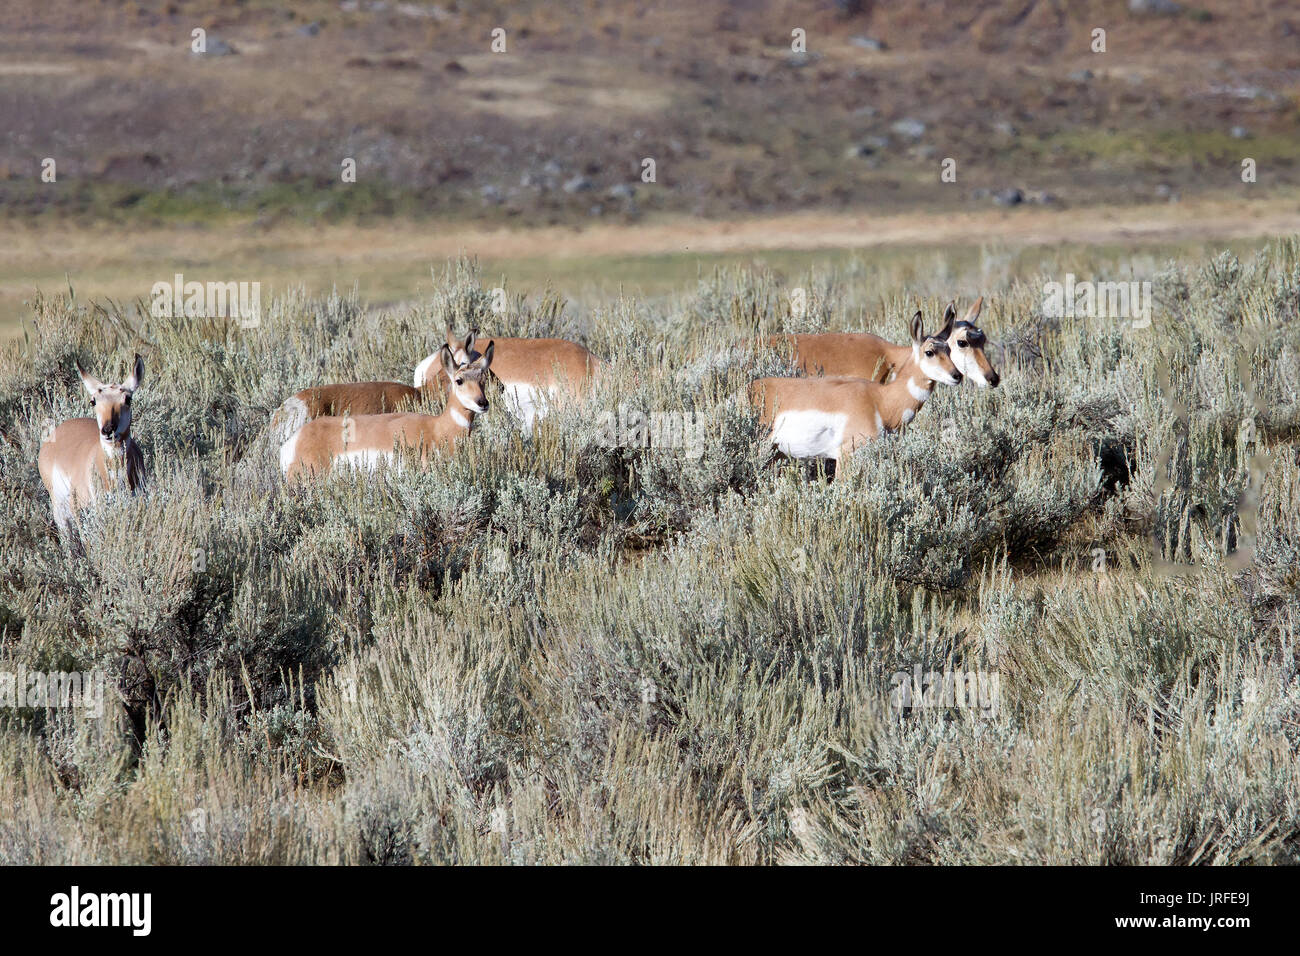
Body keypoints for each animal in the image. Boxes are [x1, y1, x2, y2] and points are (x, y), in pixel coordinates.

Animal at [748, 312, 961, 464]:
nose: (957, 376)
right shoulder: (846, 456)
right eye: (929, 352)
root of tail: (750, 387)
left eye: (950, 349)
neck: (880, 400)